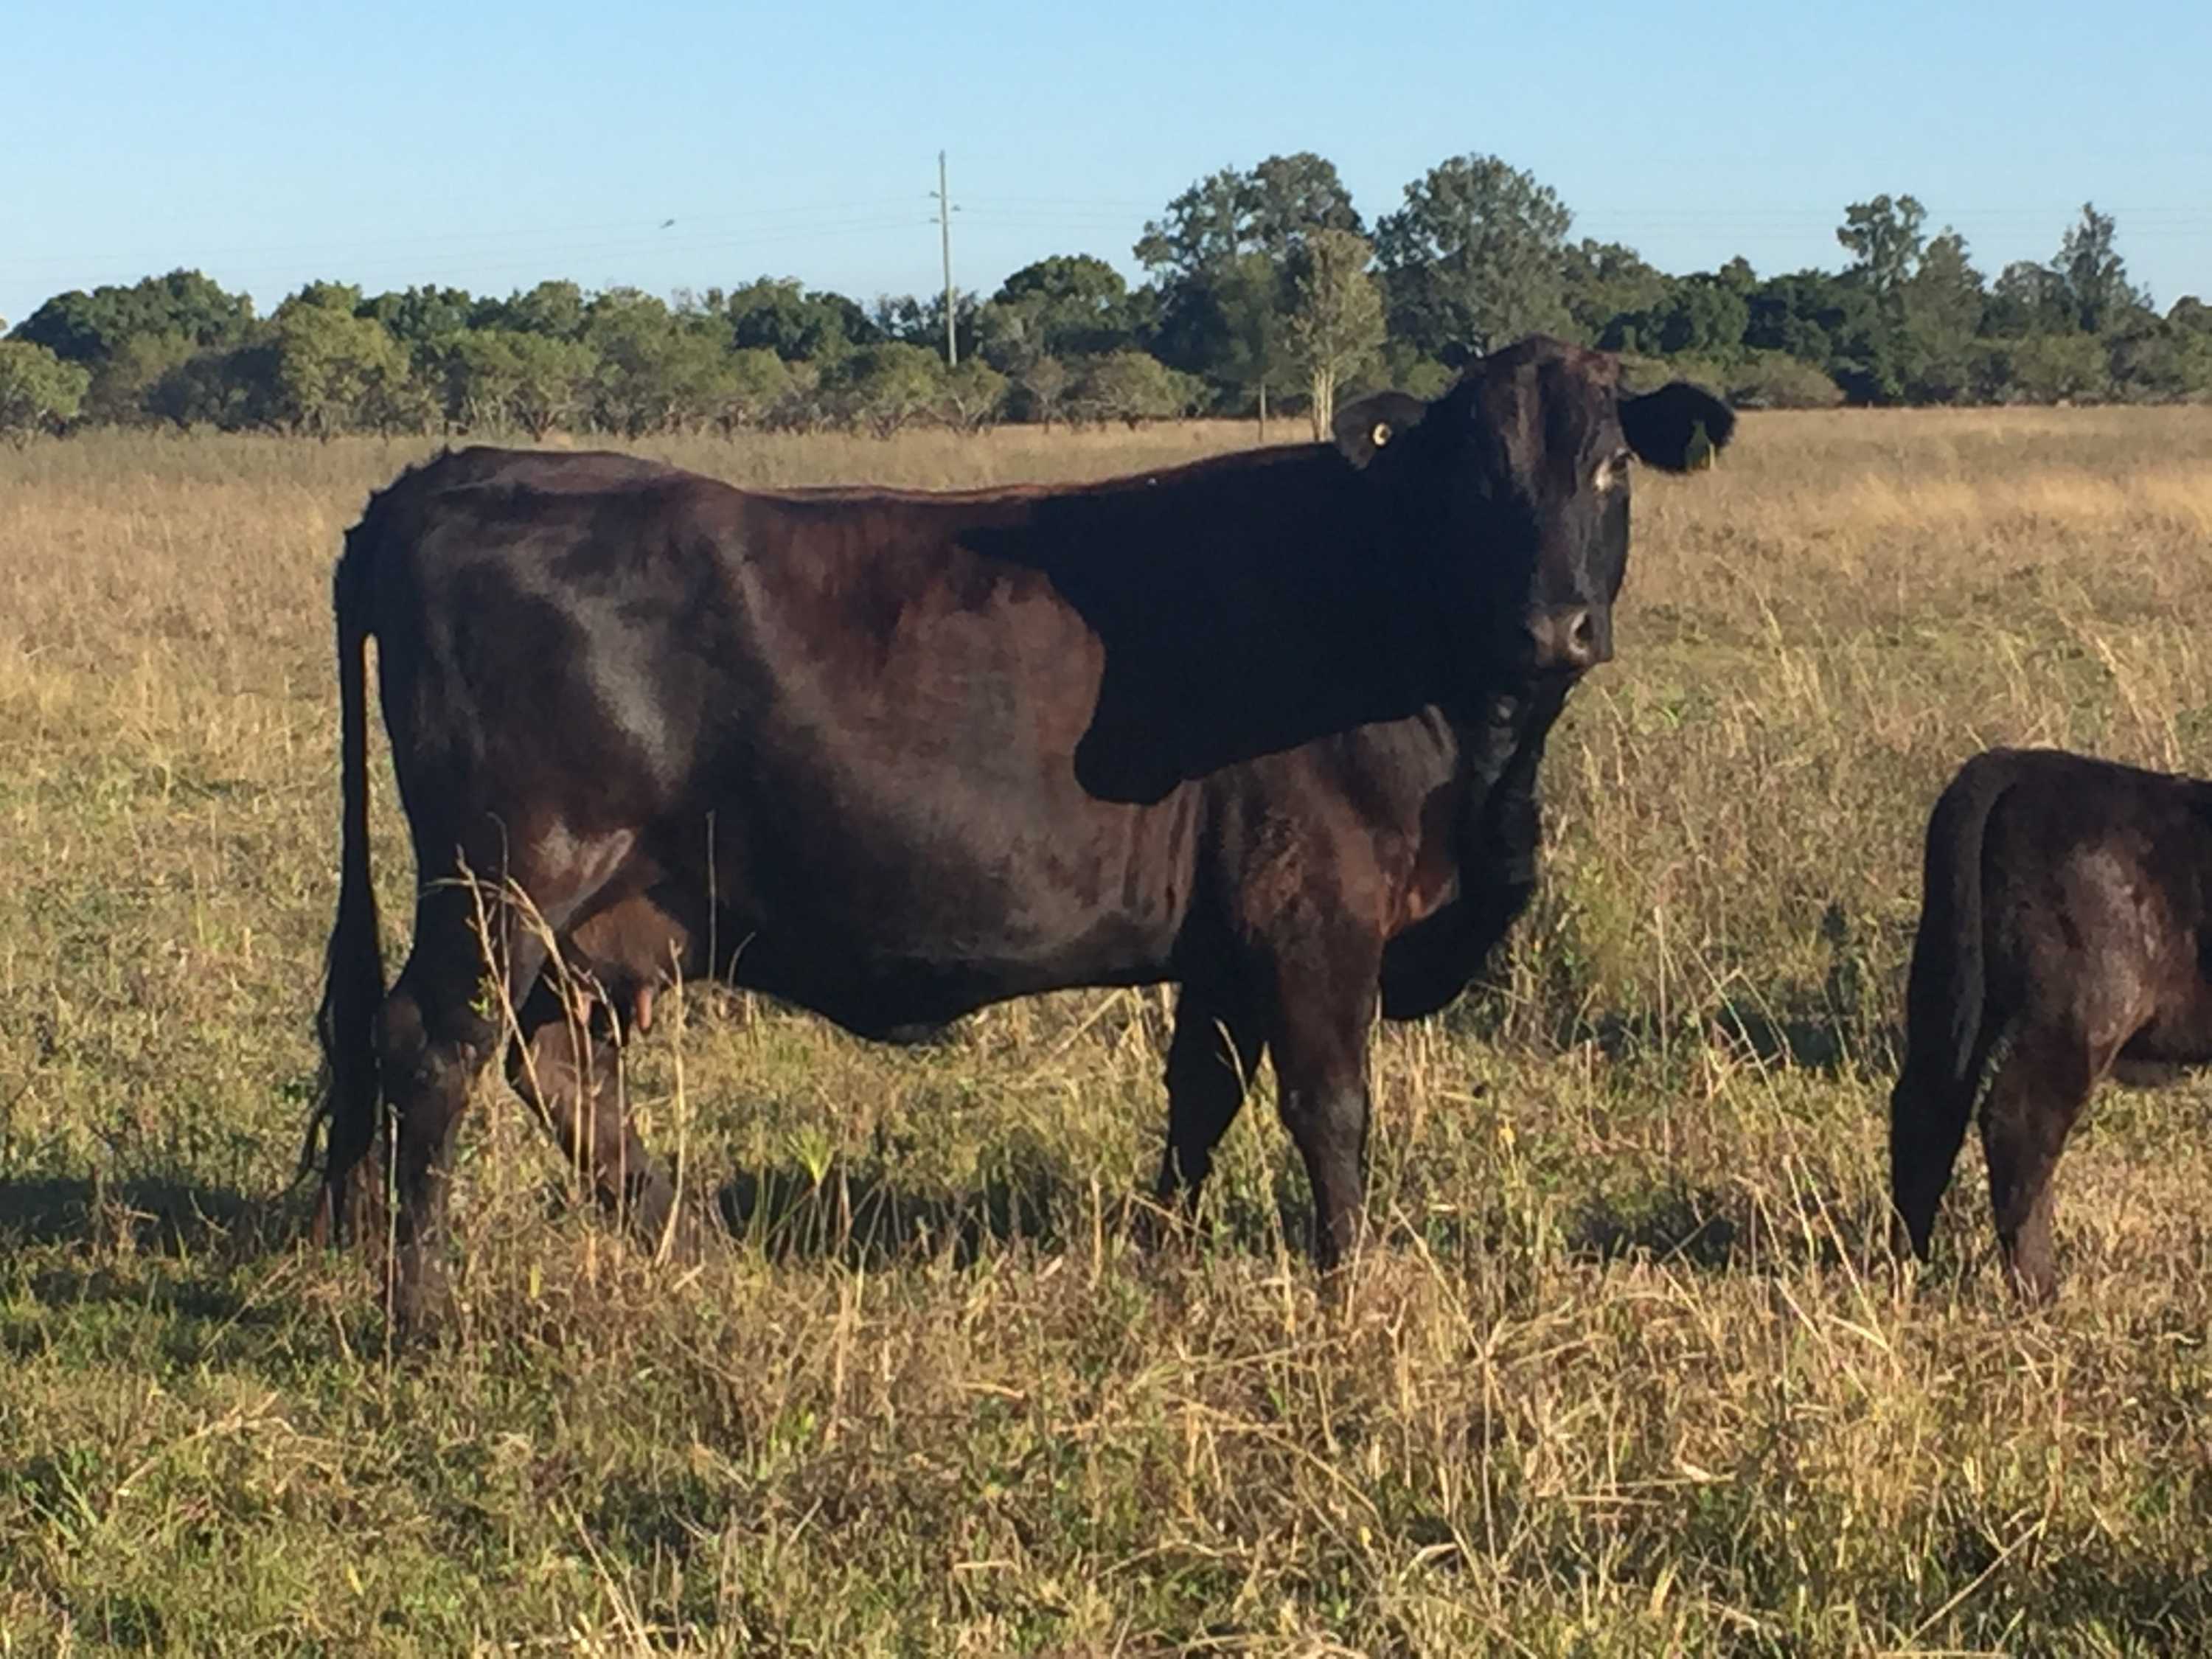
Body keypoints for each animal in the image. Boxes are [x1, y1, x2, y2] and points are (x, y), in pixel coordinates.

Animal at [308, 336, 1734, 1331]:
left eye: (1609, 464)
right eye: (1474, 480)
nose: (1554, 625)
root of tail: (454, 473)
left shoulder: (1227, 935)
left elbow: (1200, 1099)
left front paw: (1165, 1260)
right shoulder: (1317, 919)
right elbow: (1331, 1112)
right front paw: (1348, 1292)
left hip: (583, 914)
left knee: (554, 1068)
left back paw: (694, 1248)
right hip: (506, 877)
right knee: (432, 1049)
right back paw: (421, 1308)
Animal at [1890, 747, 2212, 1299]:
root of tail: (2026, 764)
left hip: (1952, 1001)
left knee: (1927, 1110)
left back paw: (1905, 1266)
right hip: (2076, 1021)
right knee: (2019, 1123)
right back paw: (2040, 1290)